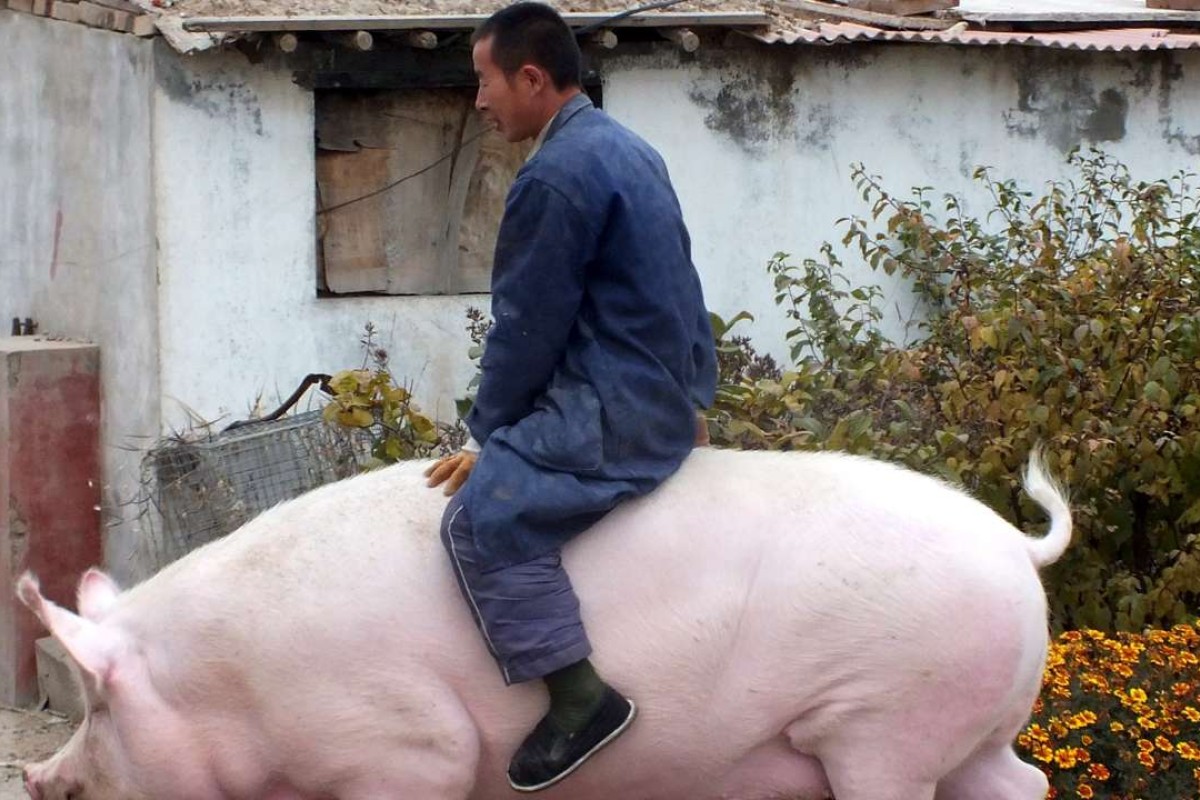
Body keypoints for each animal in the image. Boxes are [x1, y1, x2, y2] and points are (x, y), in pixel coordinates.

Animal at [19, 447, 1071, 800]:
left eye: (100, 708)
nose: (32, 778)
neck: (228, 682)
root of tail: (1016, 547)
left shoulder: (405, 747)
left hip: (881, 724)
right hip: (966, 730)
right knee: (1025, 783)